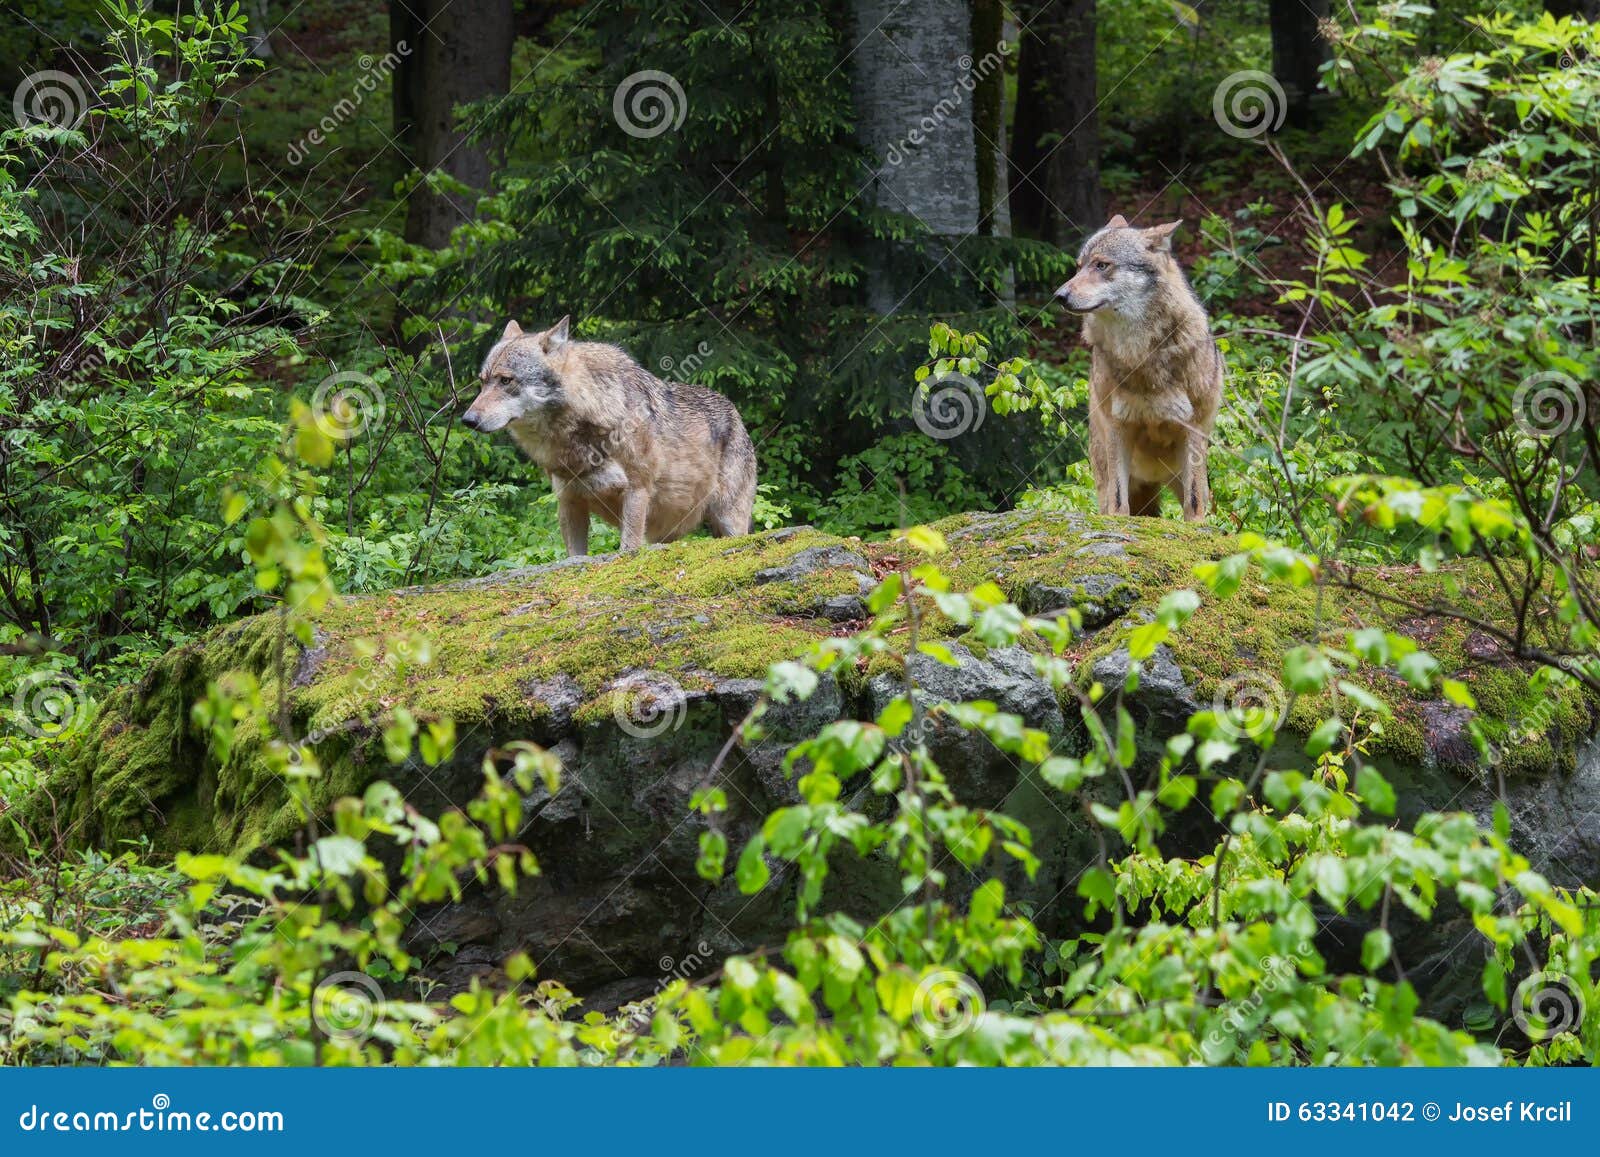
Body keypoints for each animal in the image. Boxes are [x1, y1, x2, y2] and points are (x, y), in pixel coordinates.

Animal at [461, 317, 757, 556]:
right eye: (482, 381)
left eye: (506, 380)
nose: (467, 420)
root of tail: (735, 411)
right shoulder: (568, 501)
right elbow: (573, 557)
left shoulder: (637, 491)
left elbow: (628, 549)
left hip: (729, 521)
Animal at [1054, 215, 1222, 522]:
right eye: (1079, 266)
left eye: (1101, 265)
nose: (1059, 295)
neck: (1141, 353)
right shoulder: (1117, 428)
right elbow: (1119, 503)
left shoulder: (1192, 428)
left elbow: (1193, 504)